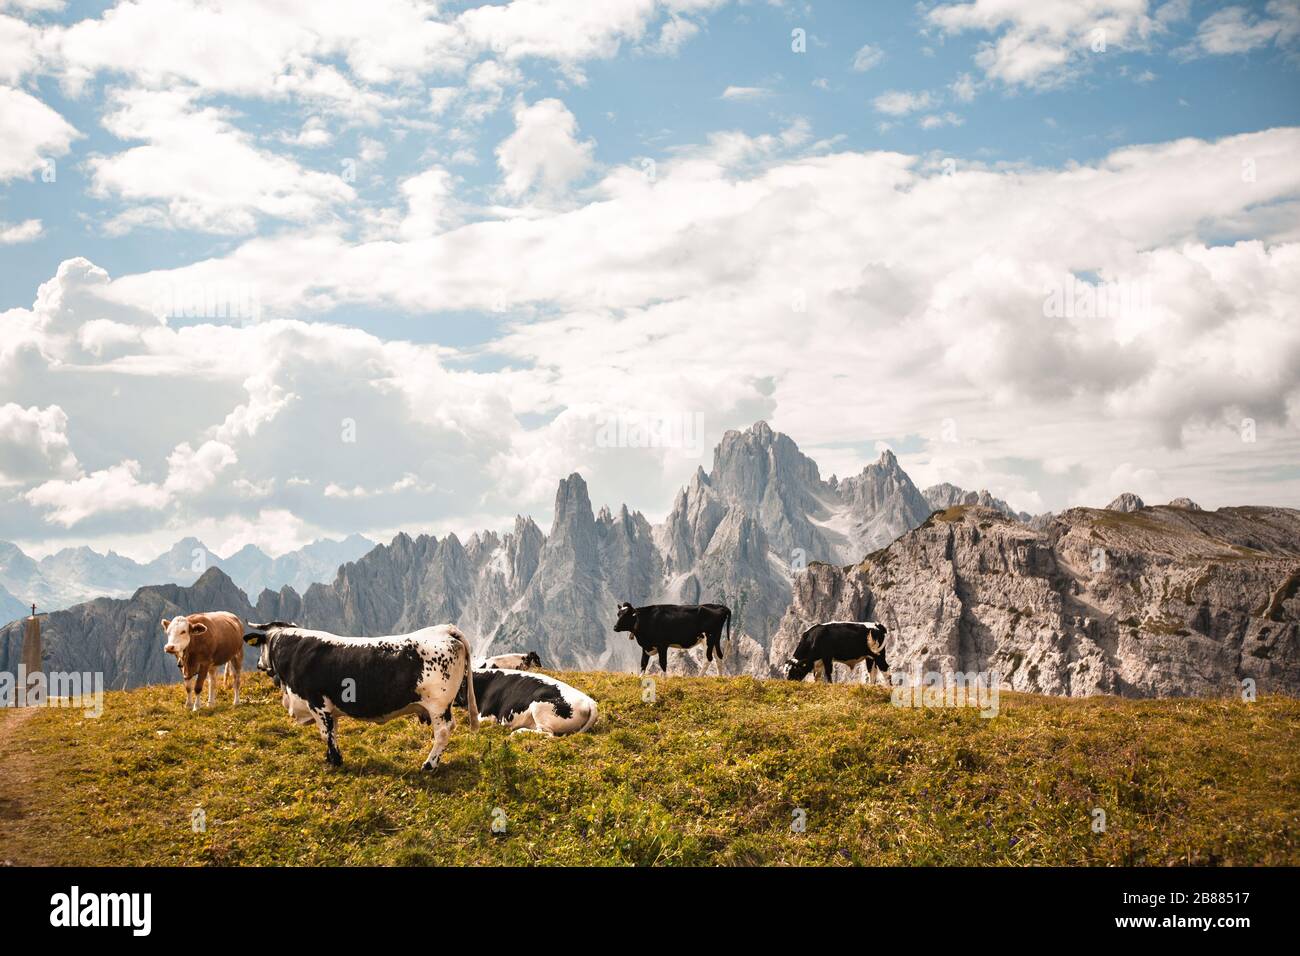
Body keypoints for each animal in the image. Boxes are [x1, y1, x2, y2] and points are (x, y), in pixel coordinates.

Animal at [242, 621, 479, 771]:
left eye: (261, 646)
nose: (259, 664)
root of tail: (444, 629)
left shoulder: (318, 703)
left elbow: (326, 734)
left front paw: (335, 761)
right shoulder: (329, 709)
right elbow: (333, 732)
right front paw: (330, 757)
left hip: (438, 705)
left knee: (443, 732)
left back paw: (429, 764)